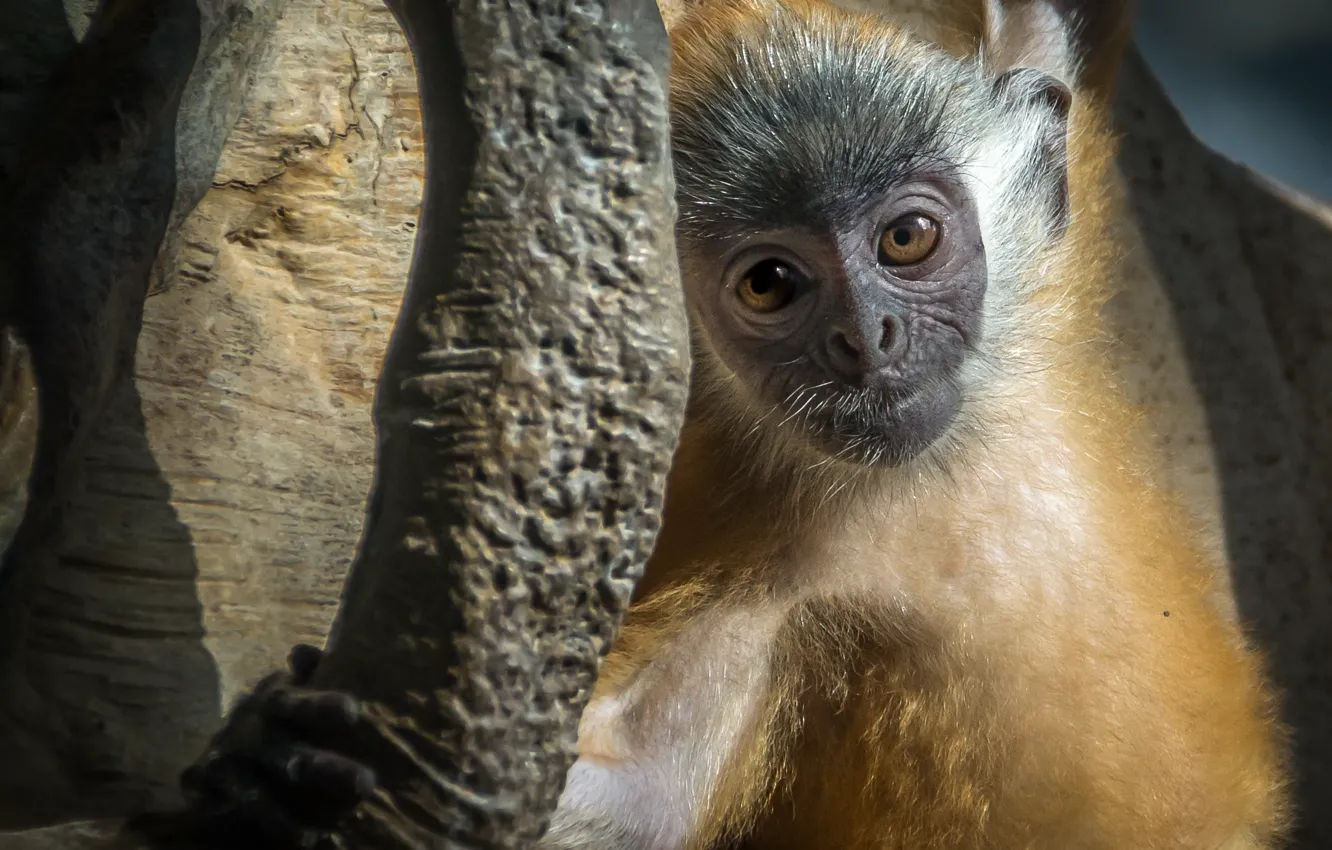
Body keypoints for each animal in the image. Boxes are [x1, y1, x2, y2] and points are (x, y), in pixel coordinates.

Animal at [176, 0, 1292, 847]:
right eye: (770, 285)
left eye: (907, 237)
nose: (866, 338)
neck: (942, 474)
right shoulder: (793, 575)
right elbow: (634, 800)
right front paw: (270, 763)